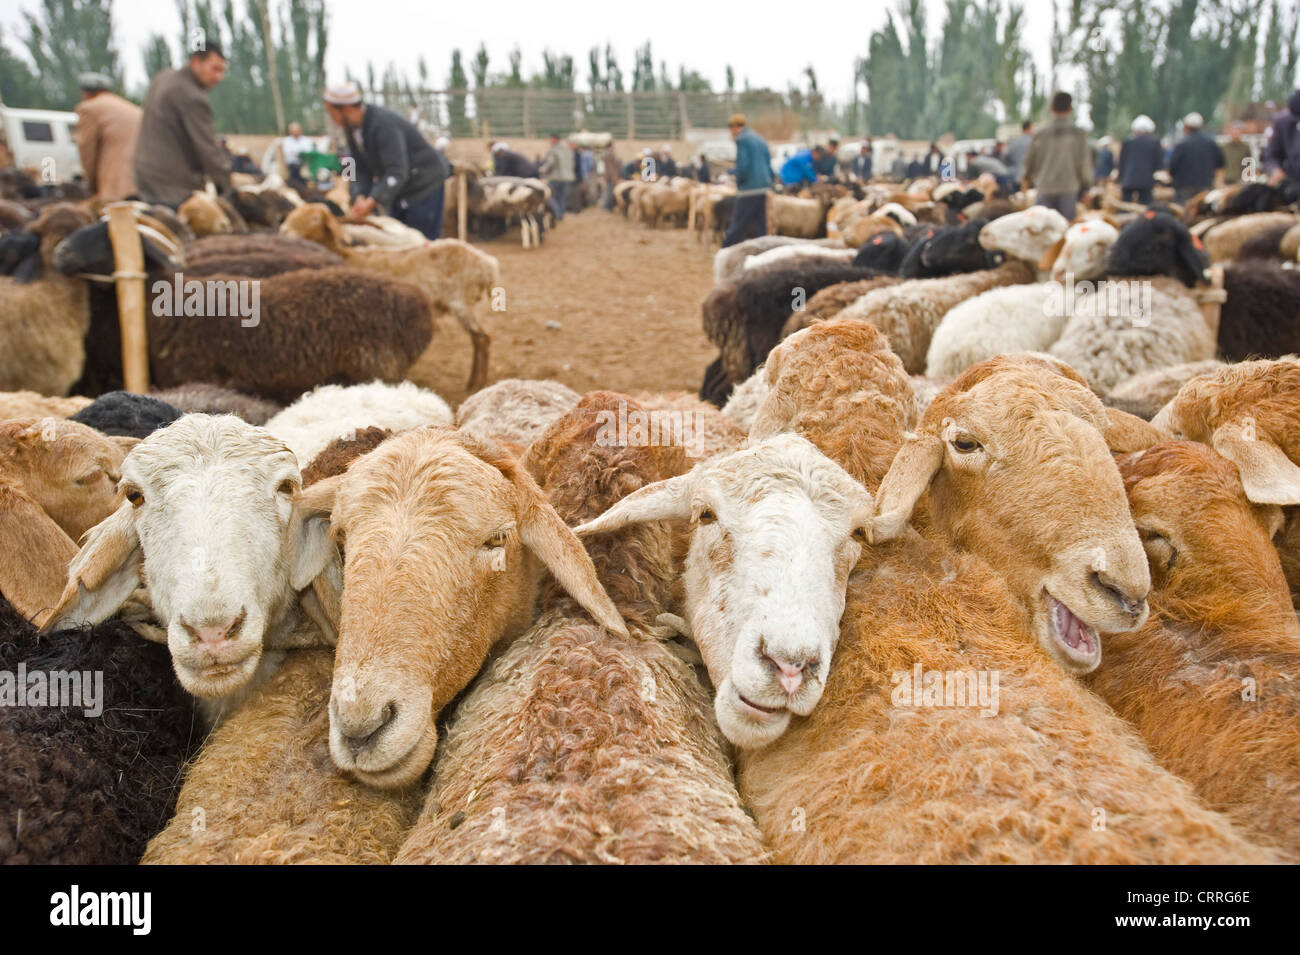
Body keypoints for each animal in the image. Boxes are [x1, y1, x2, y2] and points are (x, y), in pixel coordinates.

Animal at [281, 204, 501, 391]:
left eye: (314, 218)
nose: (283, 231)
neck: (346, 255)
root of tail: (487, 264)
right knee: (479, 338)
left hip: (461, 302)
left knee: (483, 338)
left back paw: (476, 384)